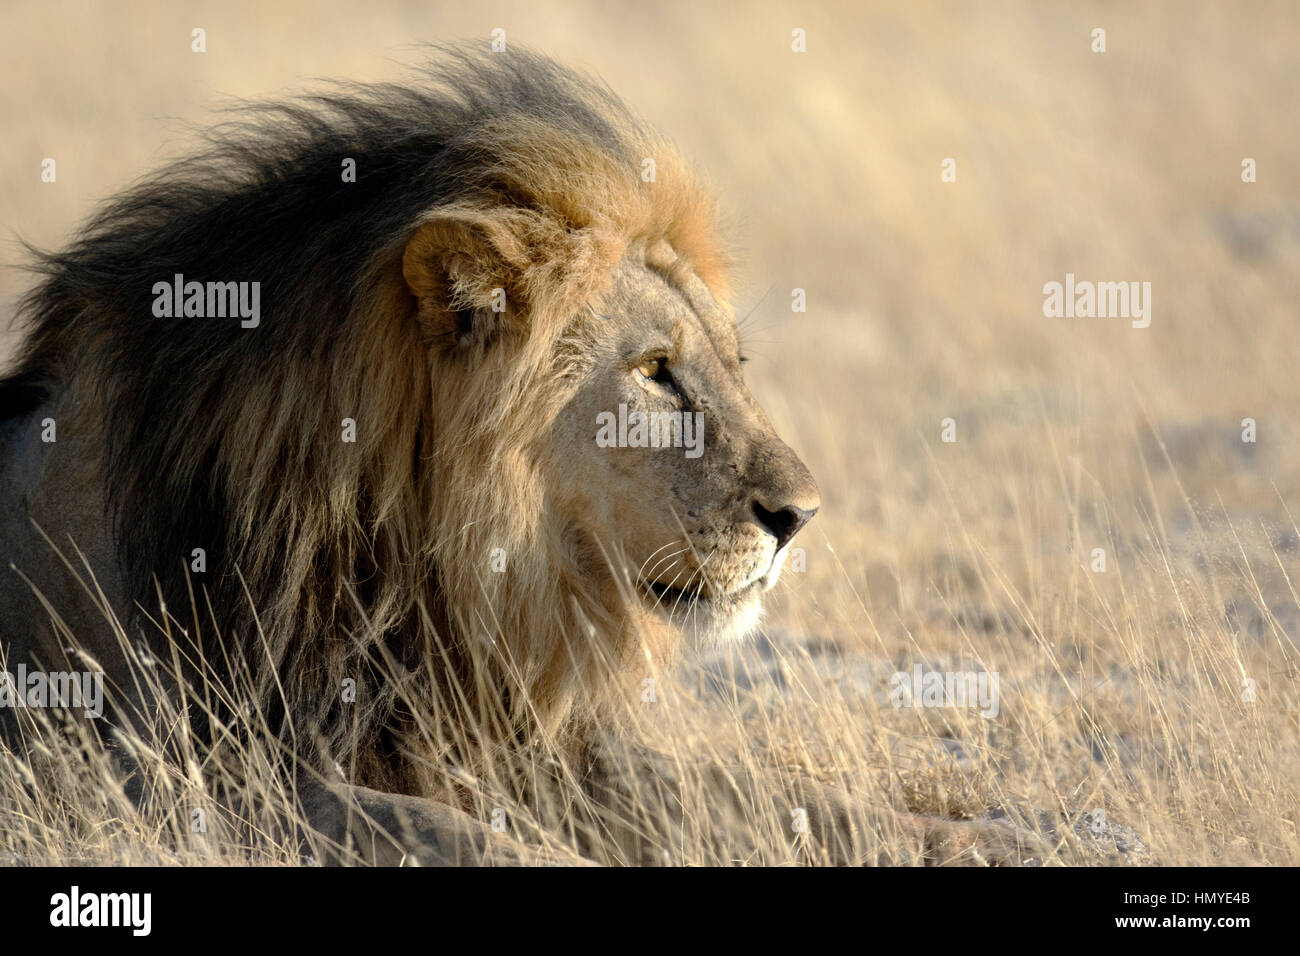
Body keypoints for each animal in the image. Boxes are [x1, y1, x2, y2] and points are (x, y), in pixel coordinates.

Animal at [0, 49, 1039, 865]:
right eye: (656, 373)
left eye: (732, 365)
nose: (801, 518)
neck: (421, 578)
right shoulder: (176, 769)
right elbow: (430, 829)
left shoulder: (513, 742)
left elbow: (752, 794)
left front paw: (984, 836)